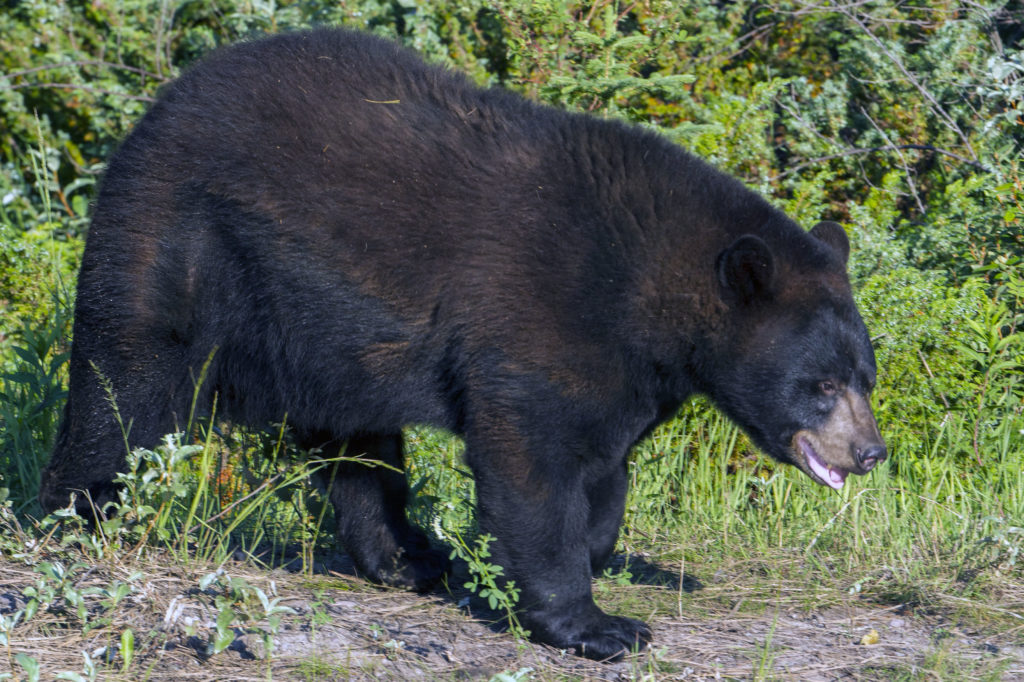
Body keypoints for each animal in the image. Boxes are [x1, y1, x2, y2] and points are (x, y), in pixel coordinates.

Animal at [39, 28, 886, 660]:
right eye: (821, 383)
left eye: (864, 376)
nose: (870, 452)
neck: (653, 287)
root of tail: (155, 110)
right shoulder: (545, 313)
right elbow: (533, 461)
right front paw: (599, 626)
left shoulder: (626, 370)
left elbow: (604, 470)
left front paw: (569, 559)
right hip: (180, 244)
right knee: (124, 385)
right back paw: (79, 515)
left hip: (320, 331)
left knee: (357, 447)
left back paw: (409, 558)